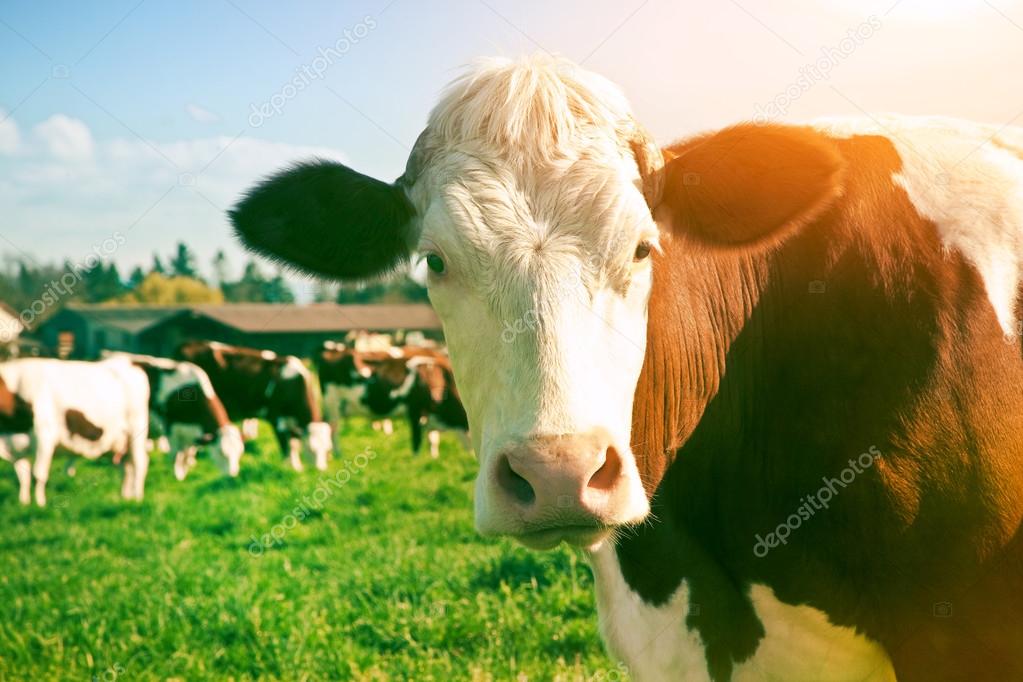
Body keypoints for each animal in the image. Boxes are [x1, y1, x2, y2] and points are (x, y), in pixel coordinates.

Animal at [0, 357, 150, 505]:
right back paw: (125, 499)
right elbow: (22, 477)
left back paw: (138, 498)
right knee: (127, 467)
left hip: (136, 429)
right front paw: (24, 504)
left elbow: (38, 474)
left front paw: (40, 504)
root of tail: (127, 362)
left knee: (140, 463)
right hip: (120, 442)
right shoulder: (16, 445)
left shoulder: (44, 435)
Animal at [105, 352, 244, 481]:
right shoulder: (170, 426)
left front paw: (185, 470)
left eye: (239, 452)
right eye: (222, 452)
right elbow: (175, 455)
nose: (232, 475)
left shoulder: (192, 432)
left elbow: (187, 453)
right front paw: (177, 476)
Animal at [176, 341, 332, 472]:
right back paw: (191, 461)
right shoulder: (276, 418)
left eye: (327, 448)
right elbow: (287, 445)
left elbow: (294, 444)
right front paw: (291, 466)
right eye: (312, 449)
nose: (321, 469)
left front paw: (297, 466)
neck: (292, 384)